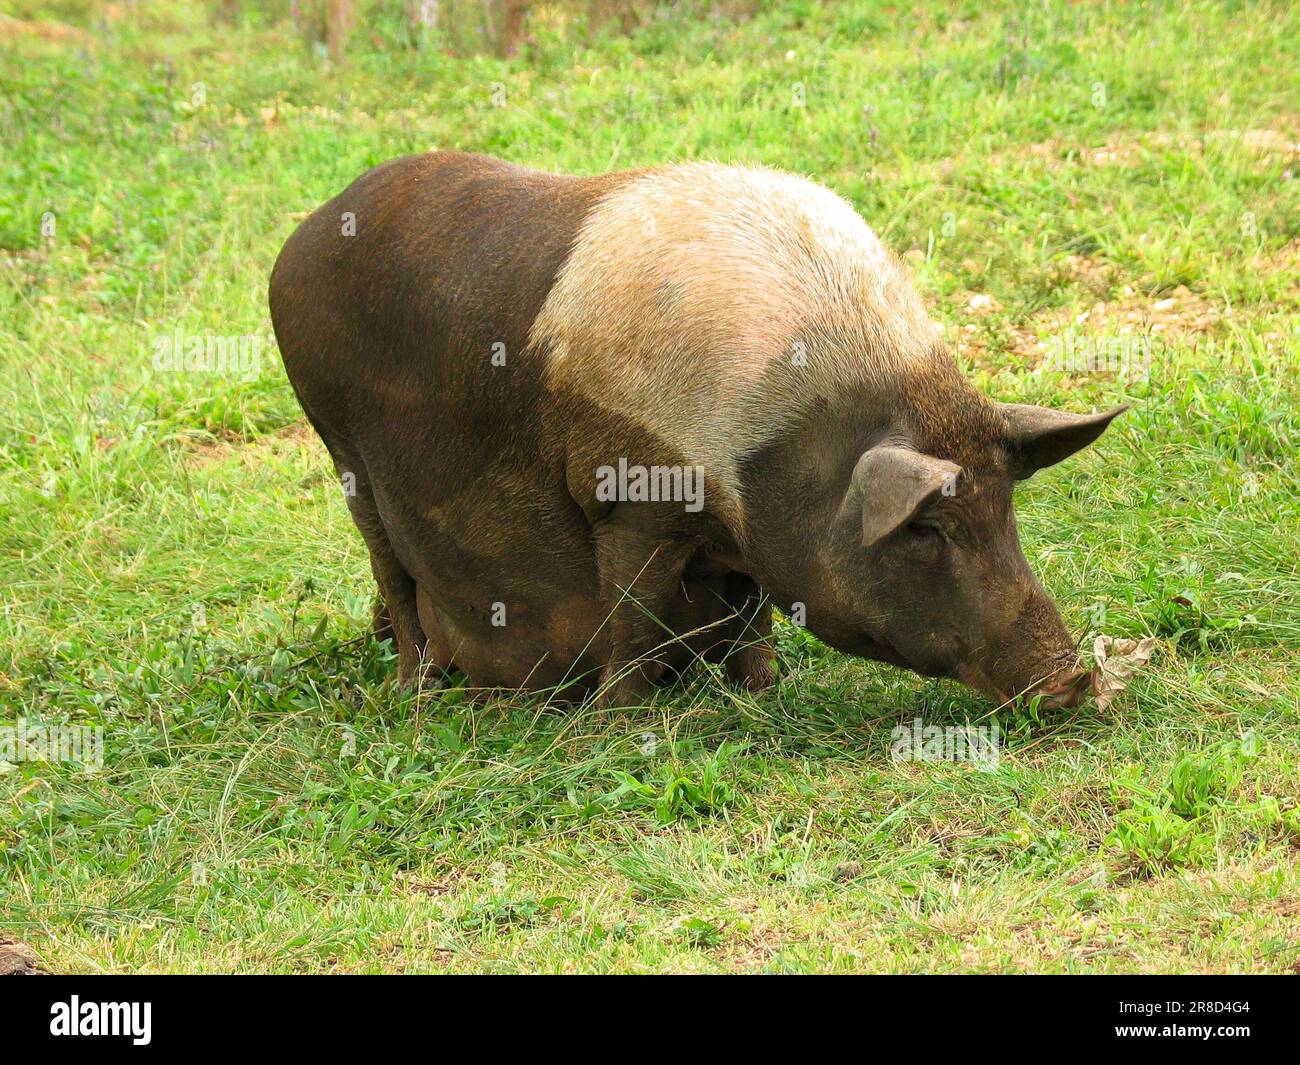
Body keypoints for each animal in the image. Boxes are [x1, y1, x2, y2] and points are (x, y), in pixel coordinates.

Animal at [269, 152, 1125, 709]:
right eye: (930, 527)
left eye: (1005, 509)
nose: (1073, 679)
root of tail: (300, 239)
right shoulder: (627, 495)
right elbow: (632, 612)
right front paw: (621, 720)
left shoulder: (743, 537)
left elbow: (755, 611)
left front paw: (764, 692)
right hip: (339, 444)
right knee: (391, 572)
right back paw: (418, 694)